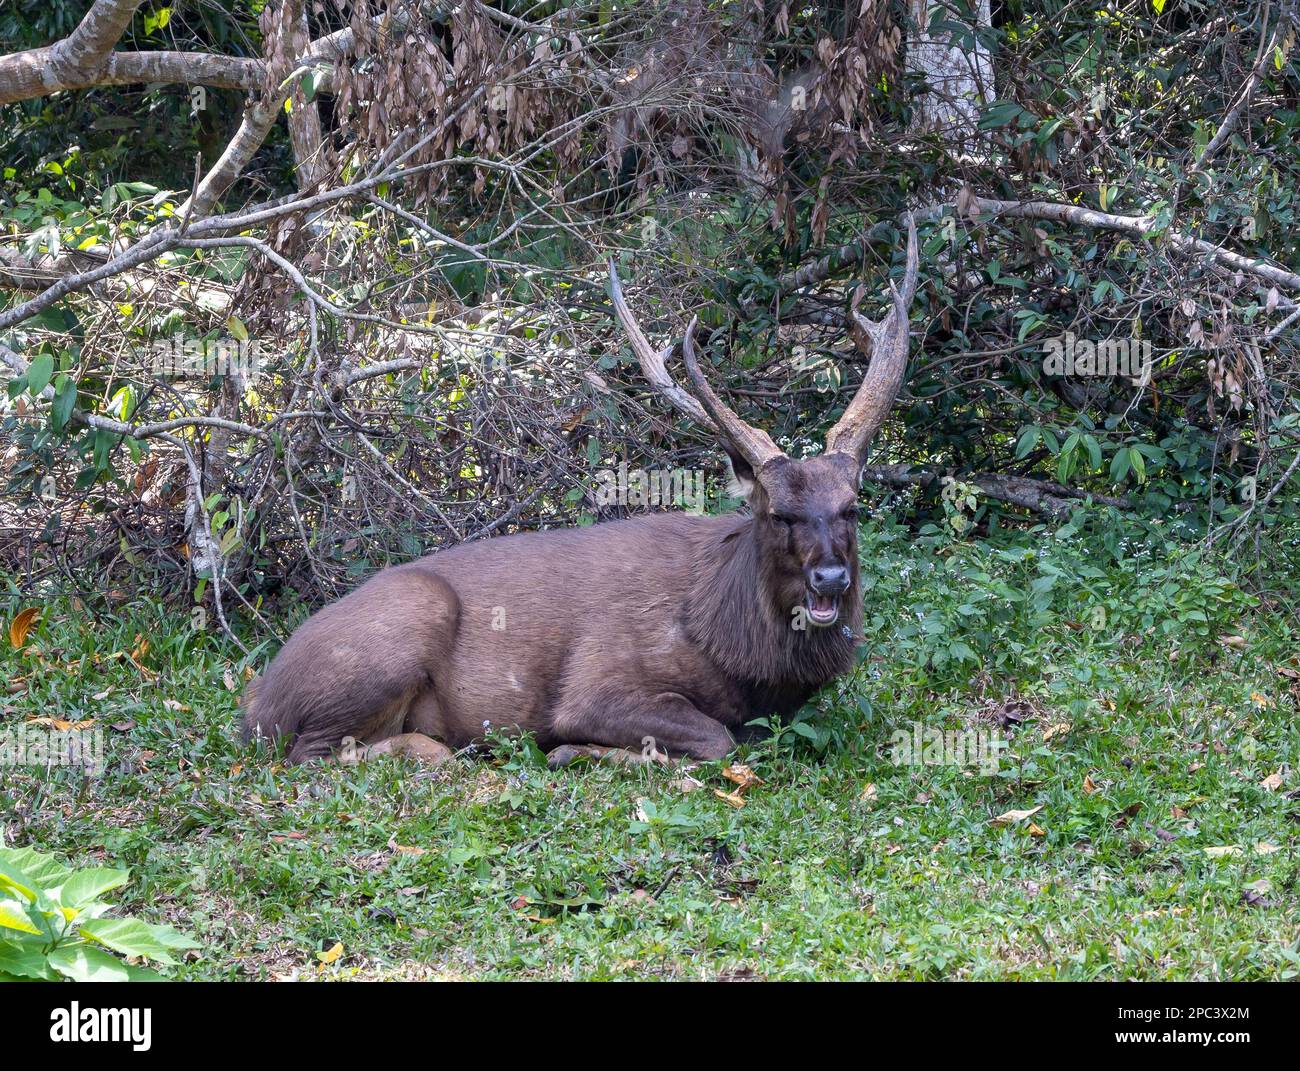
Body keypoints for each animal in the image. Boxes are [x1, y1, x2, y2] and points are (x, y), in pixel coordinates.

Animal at [240, 217, 918, 767]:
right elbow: (716, 739)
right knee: (311, 753)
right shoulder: (599, 680)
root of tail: (256, 707)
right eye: (779, 513)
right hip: (401, 626)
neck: (736, 649)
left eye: (851, 507)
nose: (830, 578)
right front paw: (576, 751)